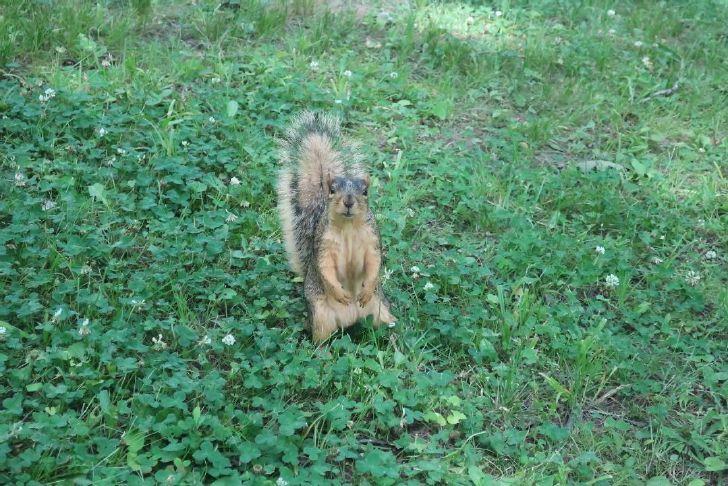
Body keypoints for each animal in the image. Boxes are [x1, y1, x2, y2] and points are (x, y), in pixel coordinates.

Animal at [276, 111, 396, 342]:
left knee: (386, 325)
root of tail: (352, 318)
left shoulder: (372, 240)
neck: (348, 227)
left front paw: (366, 289)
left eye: (365, 191)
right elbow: (325, 268)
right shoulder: (323, 246)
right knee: (321, 338)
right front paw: (340, 293)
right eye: (332, 190)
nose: (348, 201)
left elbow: (374, 262)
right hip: (321, 317)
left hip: (381, 310)